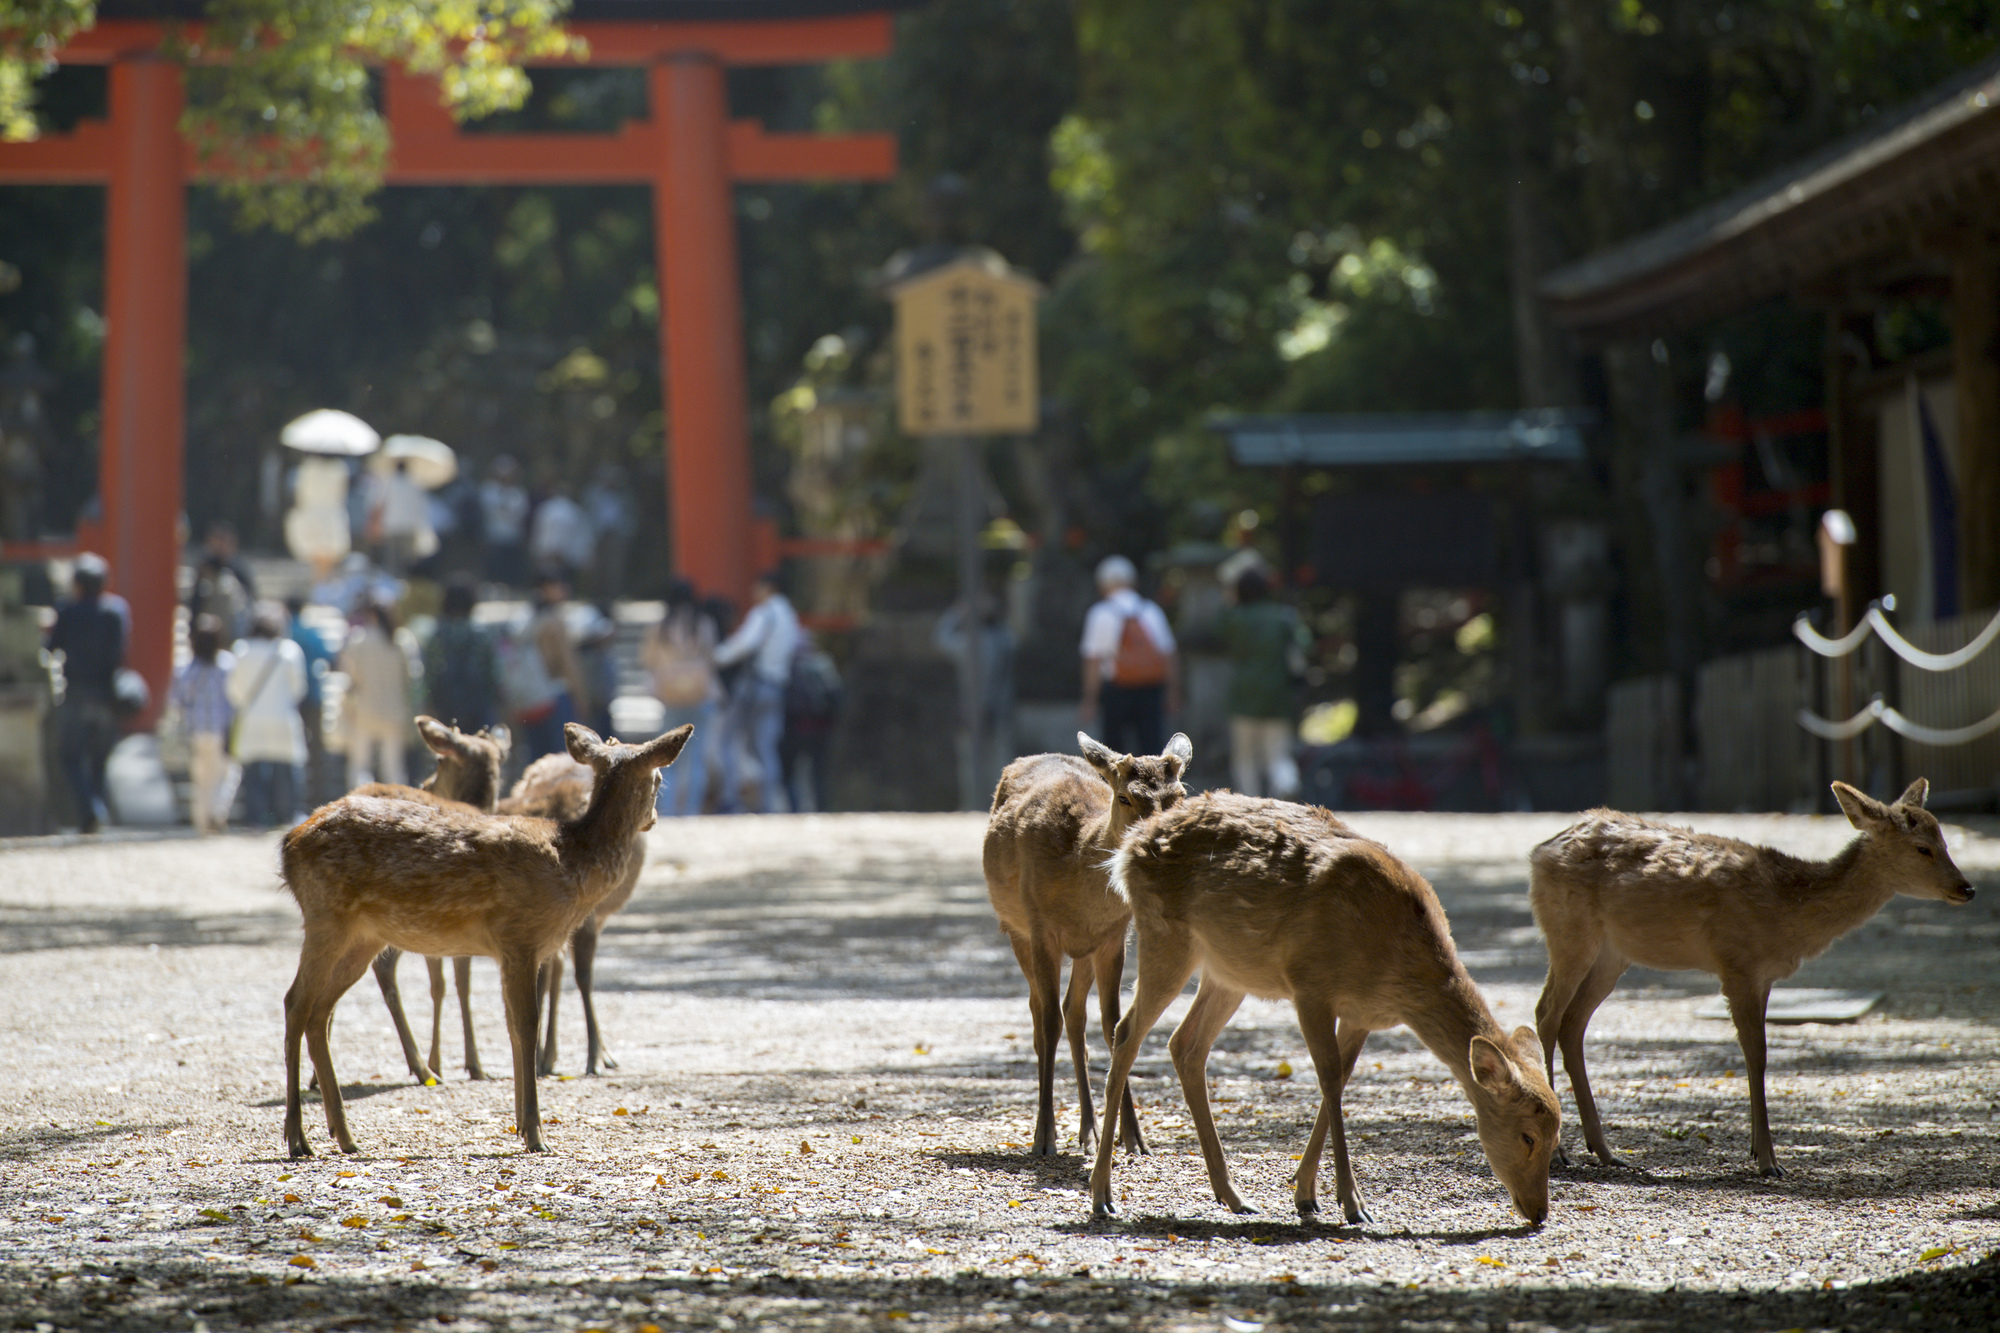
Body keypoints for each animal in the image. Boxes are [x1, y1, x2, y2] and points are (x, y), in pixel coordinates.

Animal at [345, 717, 510, 1086]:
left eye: (438, 760)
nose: (426, 782)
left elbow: (446, 984)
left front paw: (453, 1062)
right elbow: (454, 985)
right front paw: (469, 1064)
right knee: (381, 968)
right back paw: (421, 1066)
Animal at [494, 753, 648, 1077]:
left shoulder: (586, 917)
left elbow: (584, 977)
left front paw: (596, 1058)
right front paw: (540, 1057)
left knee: (566, 969)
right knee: (556, 966)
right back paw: (548, 1055)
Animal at [984, 731, 1193, 1157]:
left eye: (1179, 795)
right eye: (1125, 797)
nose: (1160, 842)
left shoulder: (1114, 938)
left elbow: (1113, 1026)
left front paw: (1133, 1138)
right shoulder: (1041, 929)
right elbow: (1049, 1022)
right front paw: (1044, 1138)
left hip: (1083, 951)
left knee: (1074, 1012)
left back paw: (1090, 1131)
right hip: (1015, 930)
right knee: (1040, 1013)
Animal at [1092, 791, 1560, 1226]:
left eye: (1557, 1137)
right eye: (1528, 1136)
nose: (1539, 1212)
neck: (1395, 965)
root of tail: (1127, 849)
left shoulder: (1361, 1014)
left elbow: (1341, 1078)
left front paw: (1306, 1194)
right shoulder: (1310, 985)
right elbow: (1330, 1079)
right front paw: (1353, 1203)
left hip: (1228, 973)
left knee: (1185, 1044)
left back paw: (1233, 1195)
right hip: (1164, 937)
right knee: (1126, 1033)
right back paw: (1102, 1194)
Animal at [1530, 777, 1975, 1178]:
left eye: (1946, 843)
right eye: (1922, 848)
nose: (1966, 888)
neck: (1786, 908)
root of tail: (1539, 851)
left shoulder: (1764, 975)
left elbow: (1760, 1054)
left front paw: (1762, 1153)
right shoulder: (1737, 963)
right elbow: (1755, 1053)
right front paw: (1767, 1160)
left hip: (1613, 954)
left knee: (1573, 1022)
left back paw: (1606, 1152)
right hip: (1568, 931)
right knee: (1546, 1014)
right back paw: (1557, 1153)